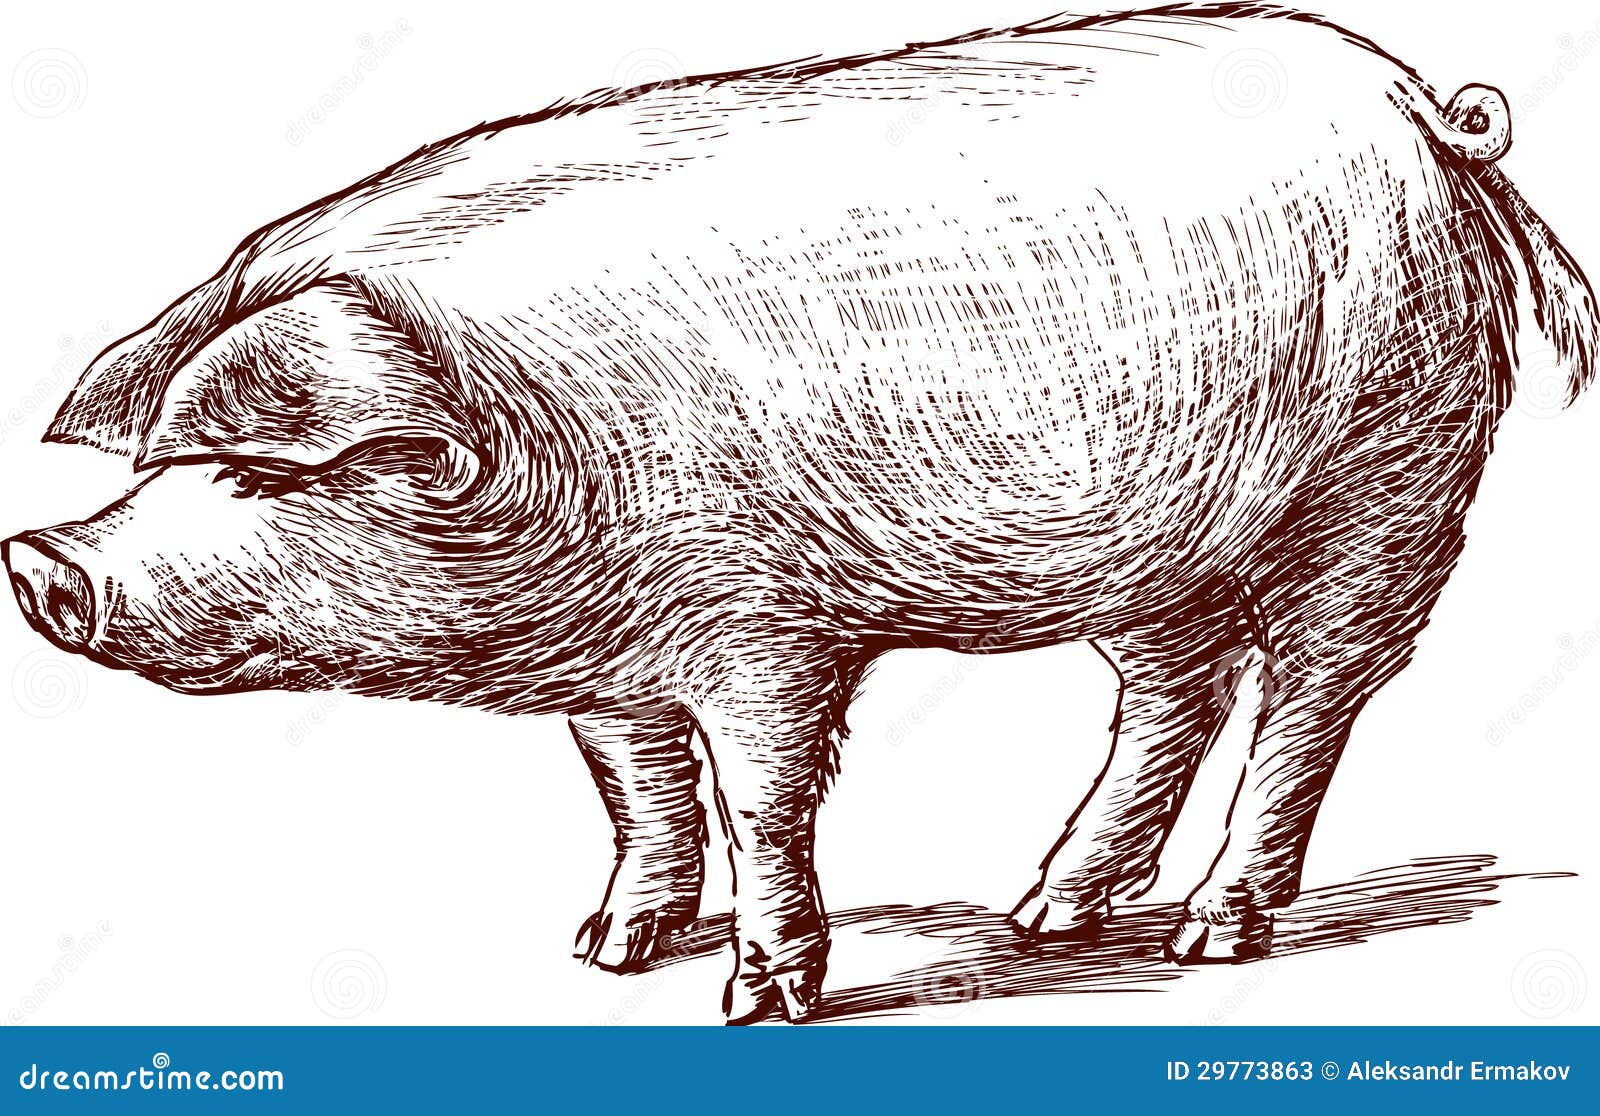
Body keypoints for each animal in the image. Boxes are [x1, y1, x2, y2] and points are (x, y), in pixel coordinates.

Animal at [6, 5, 1595, 1023]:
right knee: (1178, 689)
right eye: (157, 461)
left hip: (1389, 465)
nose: (41, 559)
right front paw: (605, 951)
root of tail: (1426, 115)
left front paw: (757, 1001)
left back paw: (1212, 936)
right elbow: (637, 786)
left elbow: (762, 795)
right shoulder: (614, 656)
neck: (547, 455)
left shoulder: (763, 629)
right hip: (1156, 538)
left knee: (1318, 689)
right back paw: (1046, 917)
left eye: (265, 467)